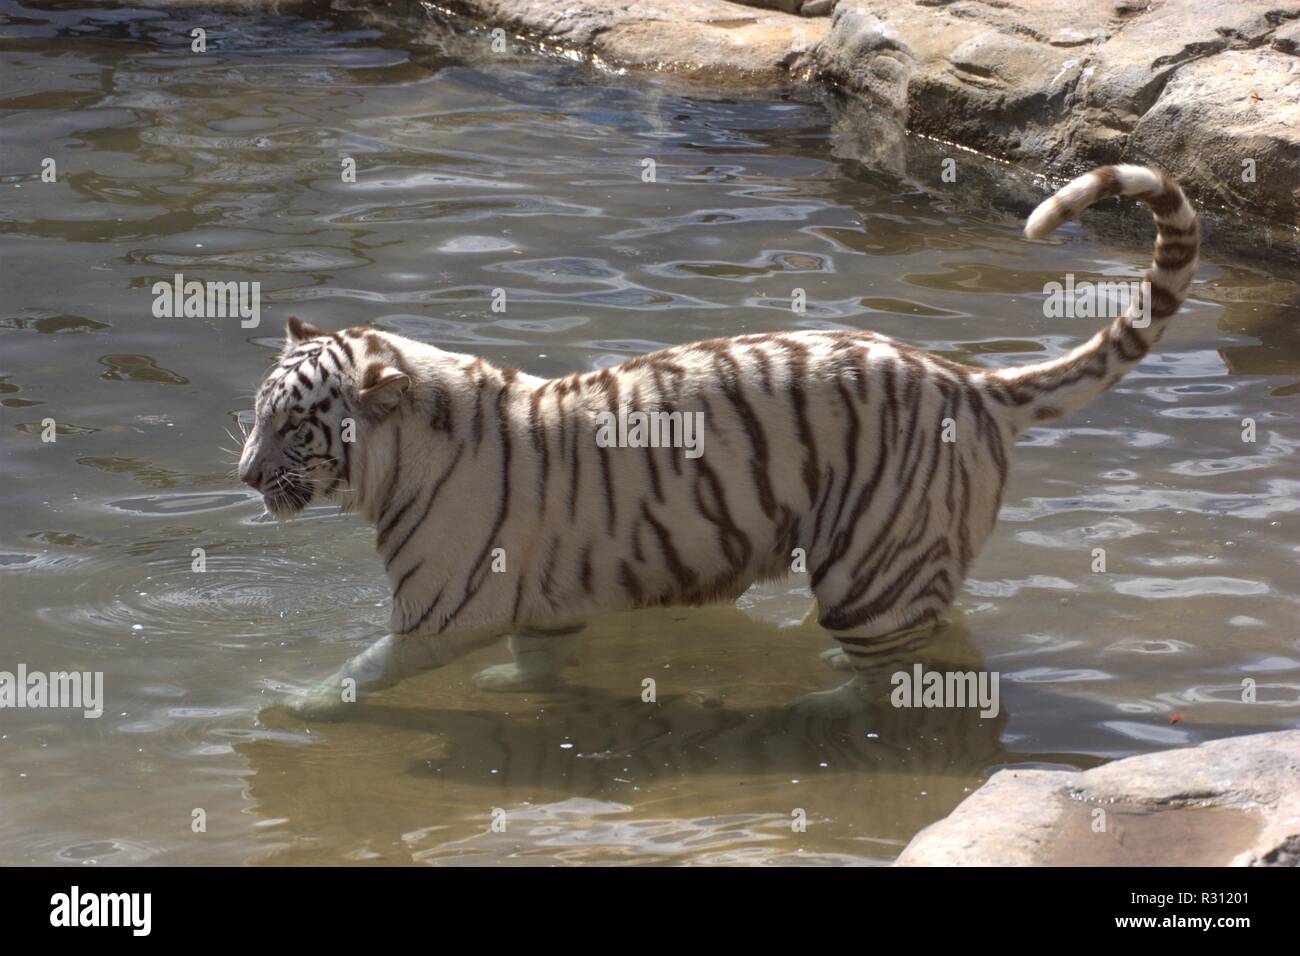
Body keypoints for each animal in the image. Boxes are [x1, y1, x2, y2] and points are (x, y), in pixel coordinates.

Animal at [237, 164, 1199, 717]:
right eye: (257, 412)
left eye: (291, 425)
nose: (244, 476)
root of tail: (975, 381)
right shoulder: (546, 600)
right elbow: (540, 660)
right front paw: (511, 687)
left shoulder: (445, 609)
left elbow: (369, 666)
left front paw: (298, 701)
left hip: (869, 571)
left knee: (897, 671)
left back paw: (821, 704)